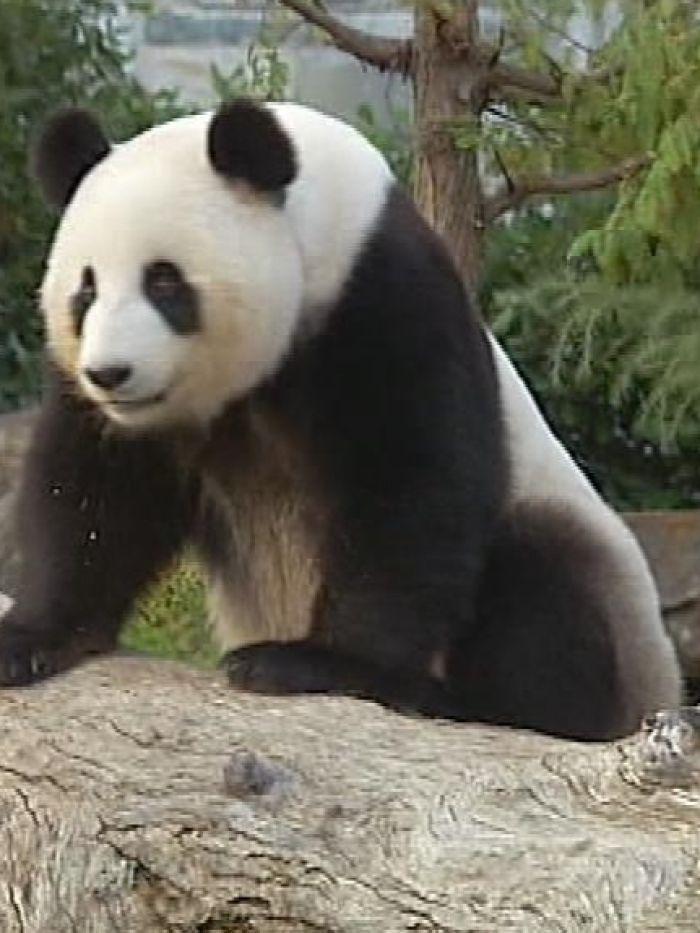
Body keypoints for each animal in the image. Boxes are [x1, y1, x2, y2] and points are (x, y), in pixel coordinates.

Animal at [0, 98, 681, 740]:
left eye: (164, 283)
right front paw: (32, 635)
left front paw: (319, 664)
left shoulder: (382, 296)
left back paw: (455, 699)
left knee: (545, 583)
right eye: (85, 290)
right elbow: (96, 494)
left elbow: (409, 485)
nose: (109, 374)